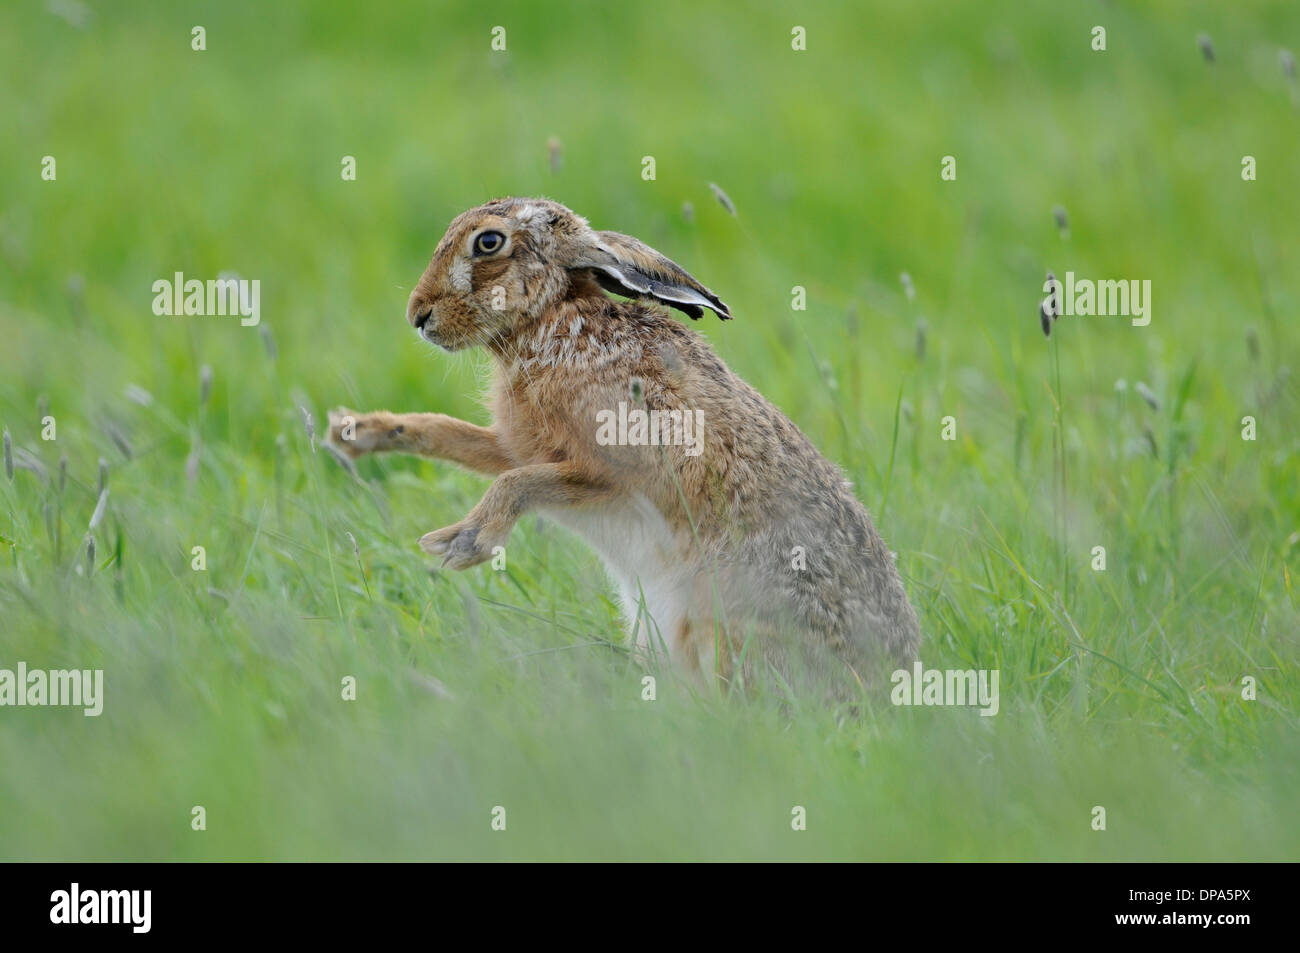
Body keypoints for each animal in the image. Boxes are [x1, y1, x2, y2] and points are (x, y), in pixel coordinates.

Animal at [327, 197, 920, 693]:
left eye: (488, 242)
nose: (418, 315)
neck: (555, 323)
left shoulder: (614, 474)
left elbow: (517, 482)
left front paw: (466, 543)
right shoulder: (519, 445)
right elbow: (452, 436)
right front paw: (355, 432)